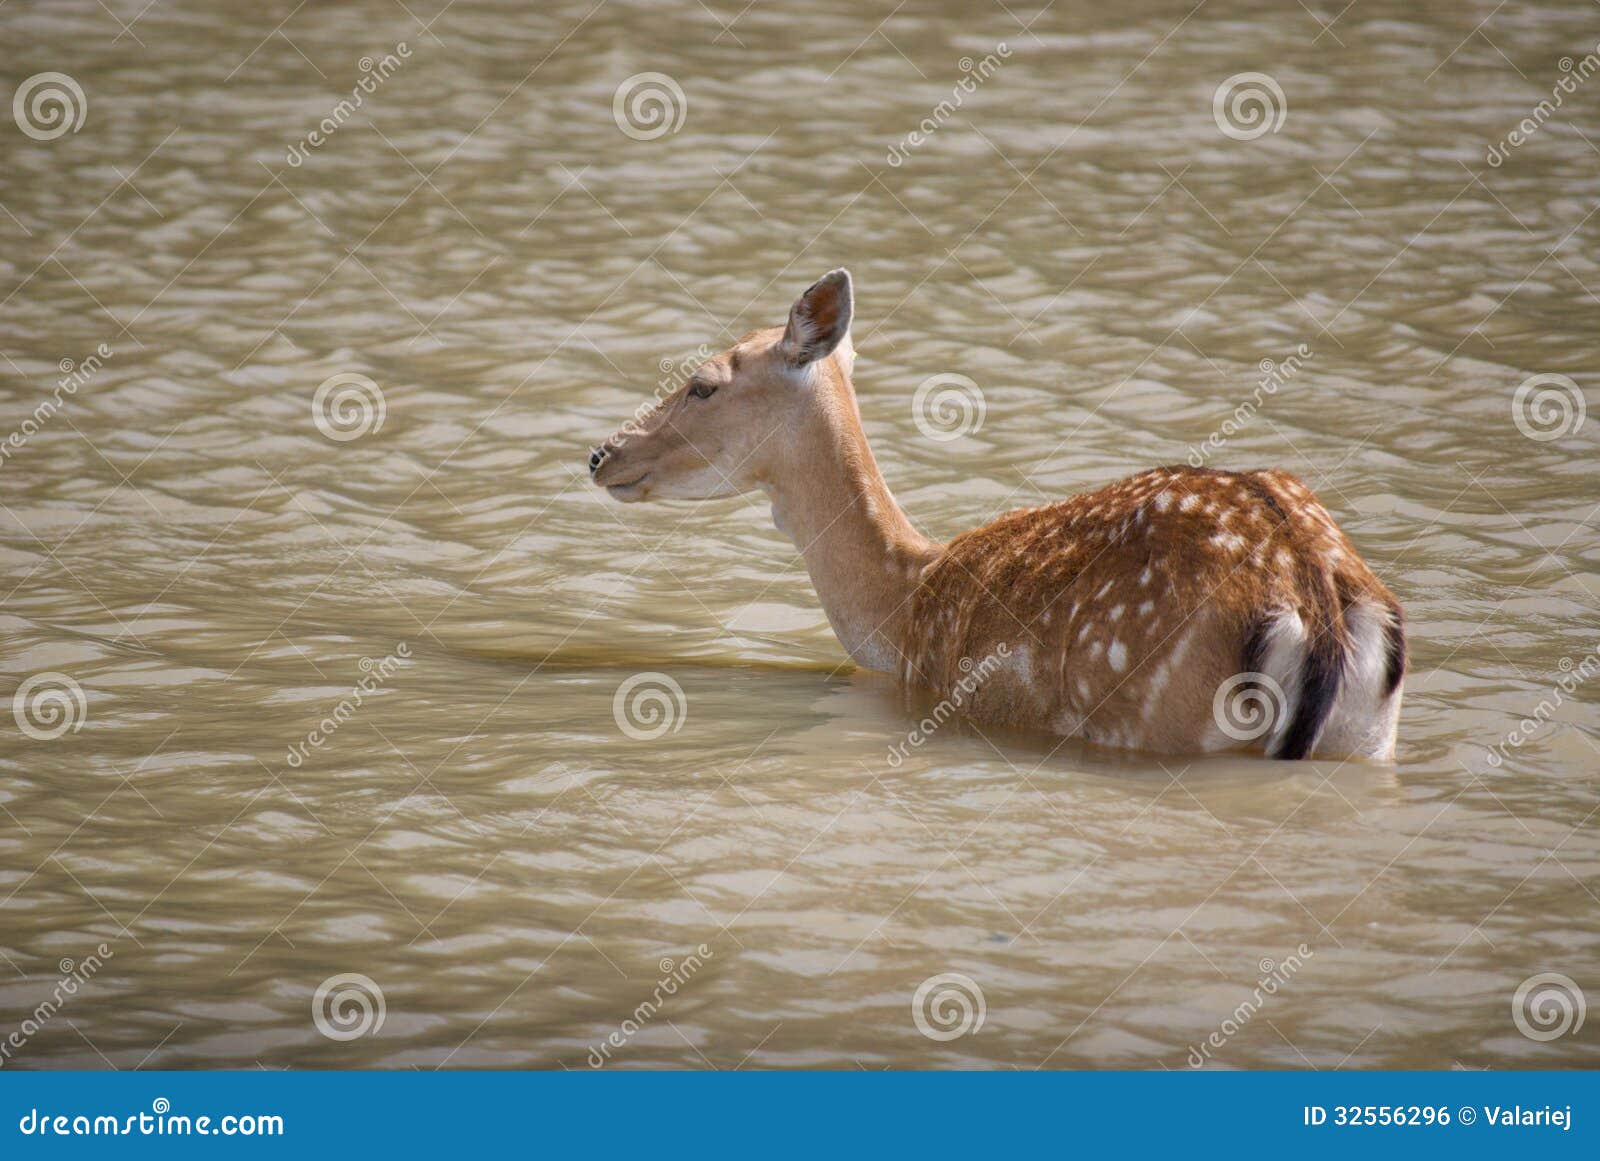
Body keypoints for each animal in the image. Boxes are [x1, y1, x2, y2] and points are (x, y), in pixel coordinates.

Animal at [588, 270, 1406, 761]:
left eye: (702, 384)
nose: (601, 453)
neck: (903, 610)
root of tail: (1314, 599)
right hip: (1368, 741)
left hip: (1159, 714)